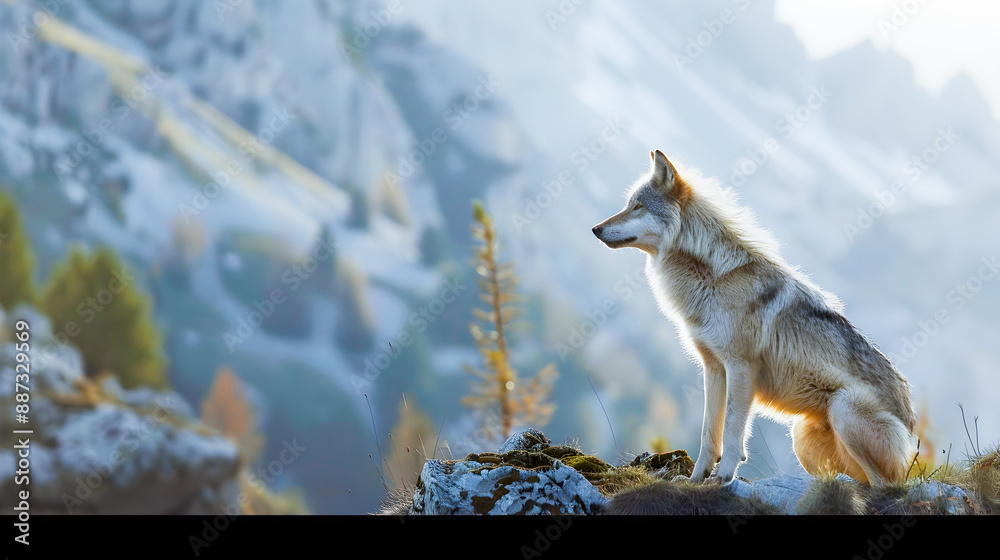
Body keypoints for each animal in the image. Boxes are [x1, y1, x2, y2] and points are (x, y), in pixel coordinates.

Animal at [592, 150, 916, 485]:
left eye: (637, 207)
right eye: (629, 205)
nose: (595, 229)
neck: (713, 277)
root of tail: (911, 432)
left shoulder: (741, 368)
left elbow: (733, 430)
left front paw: (724, 477)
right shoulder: (713, 368)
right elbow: (709, 434)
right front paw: (696, 480)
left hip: (842, 409)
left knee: (883, 485)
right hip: (801, 438)